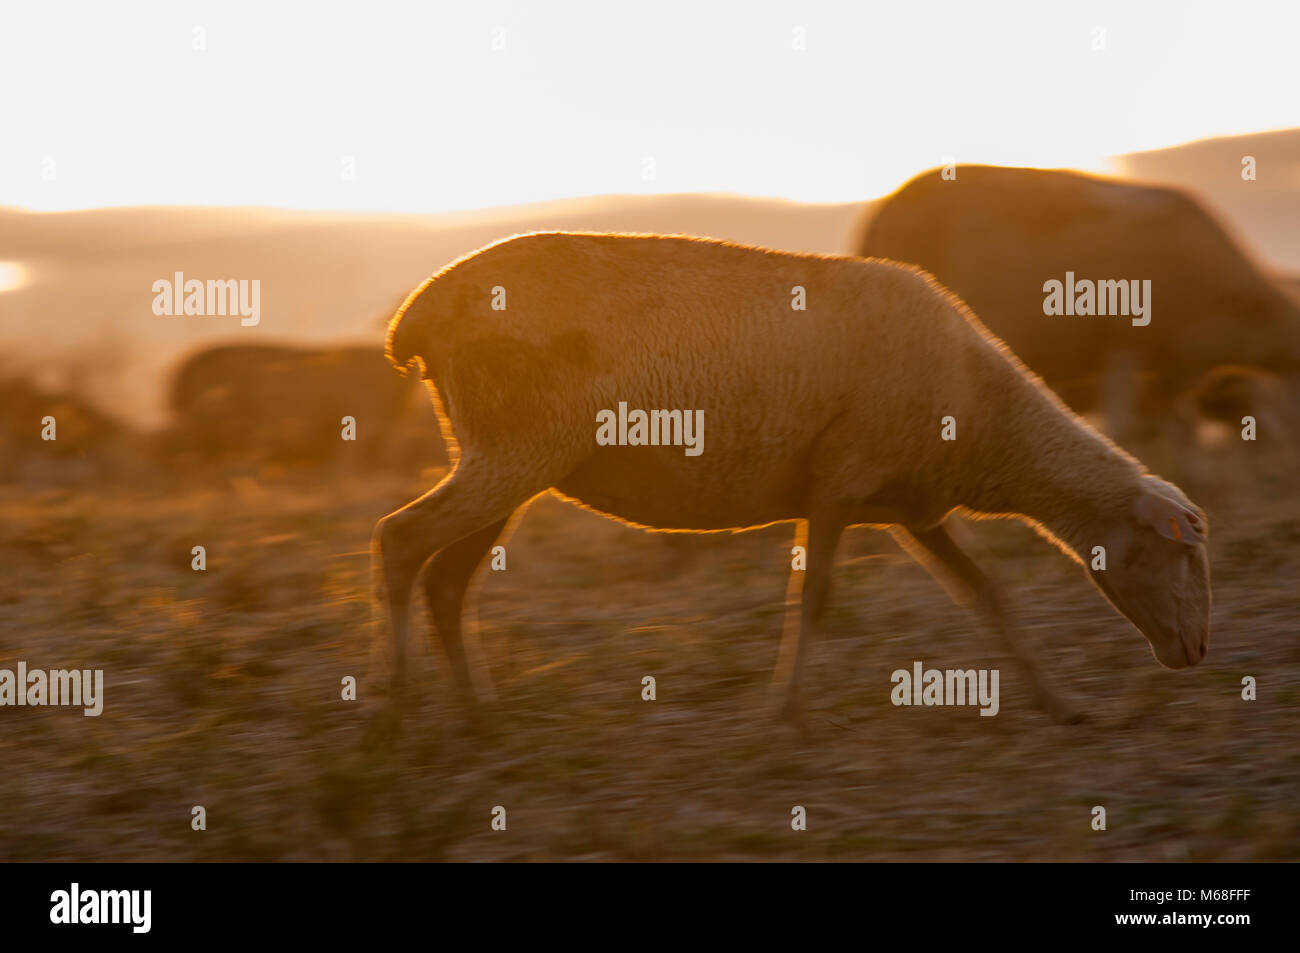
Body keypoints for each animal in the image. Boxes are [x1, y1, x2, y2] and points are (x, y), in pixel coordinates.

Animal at [374, 231, 1211, 727]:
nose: (1200, 652)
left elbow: (988, 595)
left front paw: (1063, 702)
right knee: (399, 539)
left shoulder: (911, 509)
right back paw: (398, 704)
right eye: (1181, 554)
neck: (989, 421)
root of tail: (414, 316)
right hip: (514, 449)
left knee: (446, 580)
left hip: (509, 458)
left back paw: (478, 711)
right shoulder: (837, 485)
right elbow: (815, 599)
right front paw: (784, 708)